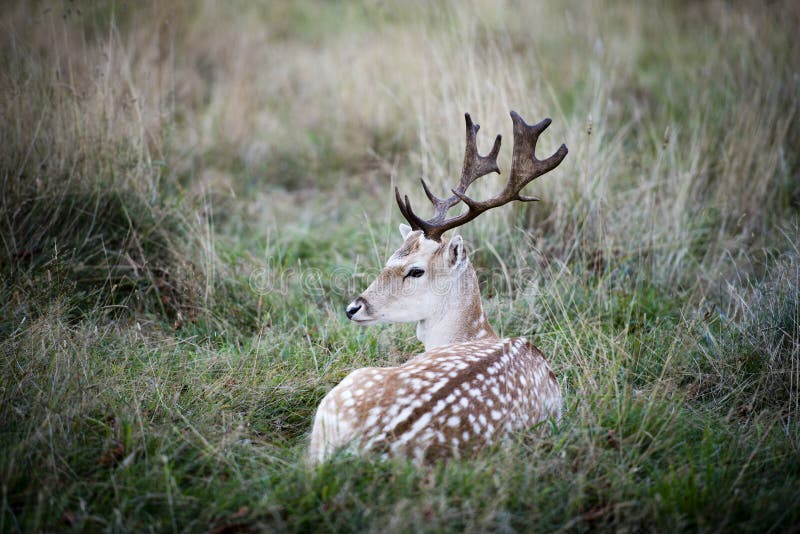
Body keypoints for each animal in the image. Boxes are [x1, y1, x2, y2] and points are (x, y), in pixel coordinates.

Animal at [309, 111, 568, 463]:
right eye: (390, 257)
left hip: (349, 383)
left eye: (415, 271)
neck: (476, 334)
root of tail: (374, 445)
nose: (353, 307)